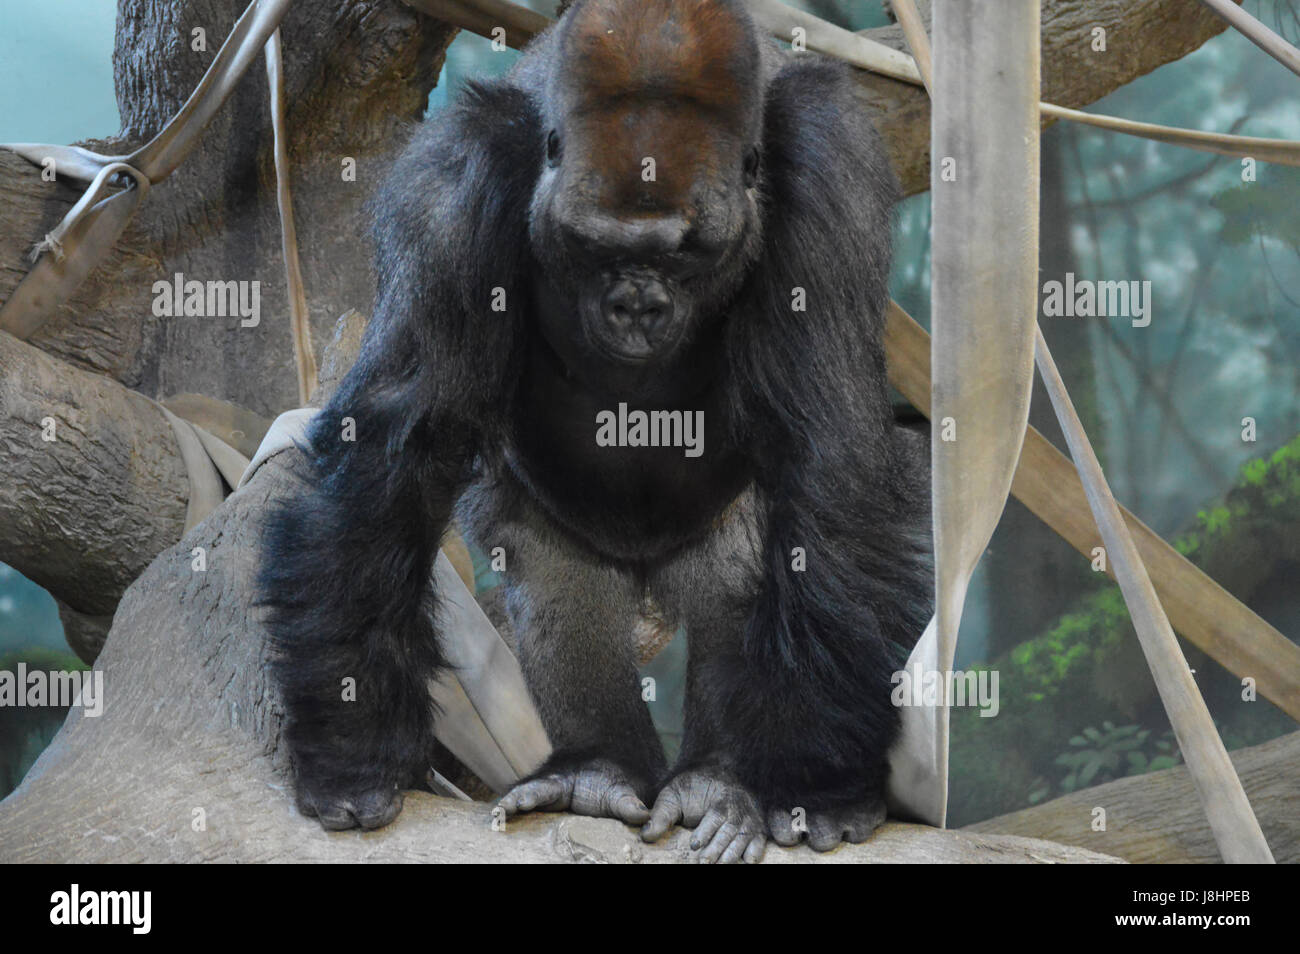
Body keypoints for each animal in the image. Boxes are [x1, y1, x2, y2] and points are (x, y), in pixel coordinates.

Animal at [259, 0, 932, 864]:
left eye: (684, 256)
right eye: (596, 247)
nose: (636, 308)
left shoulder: (829, 168)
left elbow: (832, 457)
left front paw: (819, 781)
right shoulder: (454, 178)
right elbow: (396, 440)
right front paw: (350, 750)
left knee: (745, 564)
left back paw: (719, 783)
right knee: (553, 576)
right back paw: (598, 770)